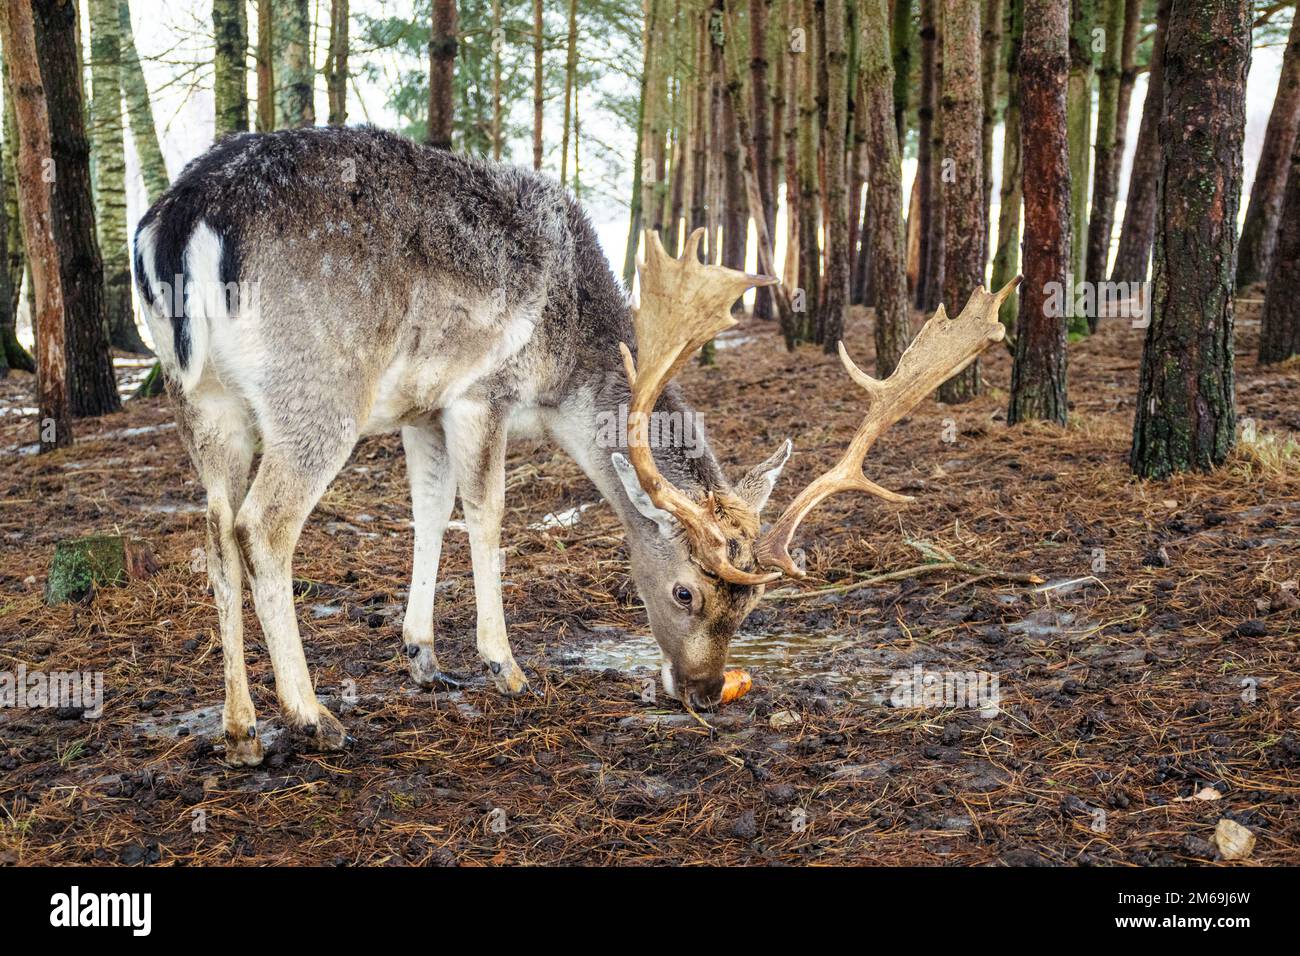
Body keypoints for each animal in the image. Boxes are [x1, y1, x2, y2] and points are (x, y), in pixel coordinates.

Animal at [132, 125, 1015, 767]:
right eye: (684, 592)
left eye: (751, 605)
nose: (703, 690)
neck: (566, 375)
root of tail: (179, 223)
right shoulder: (480, 392)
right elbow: (486, 515)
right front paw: (505, 666)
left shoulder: (421, 410)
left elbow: (430, 513)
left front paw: (422, 655)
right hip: (317, 389)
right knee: (262, 527)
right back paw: (312, 716)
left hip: (200, 399)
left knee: (214, 532)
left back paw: (241, 730)